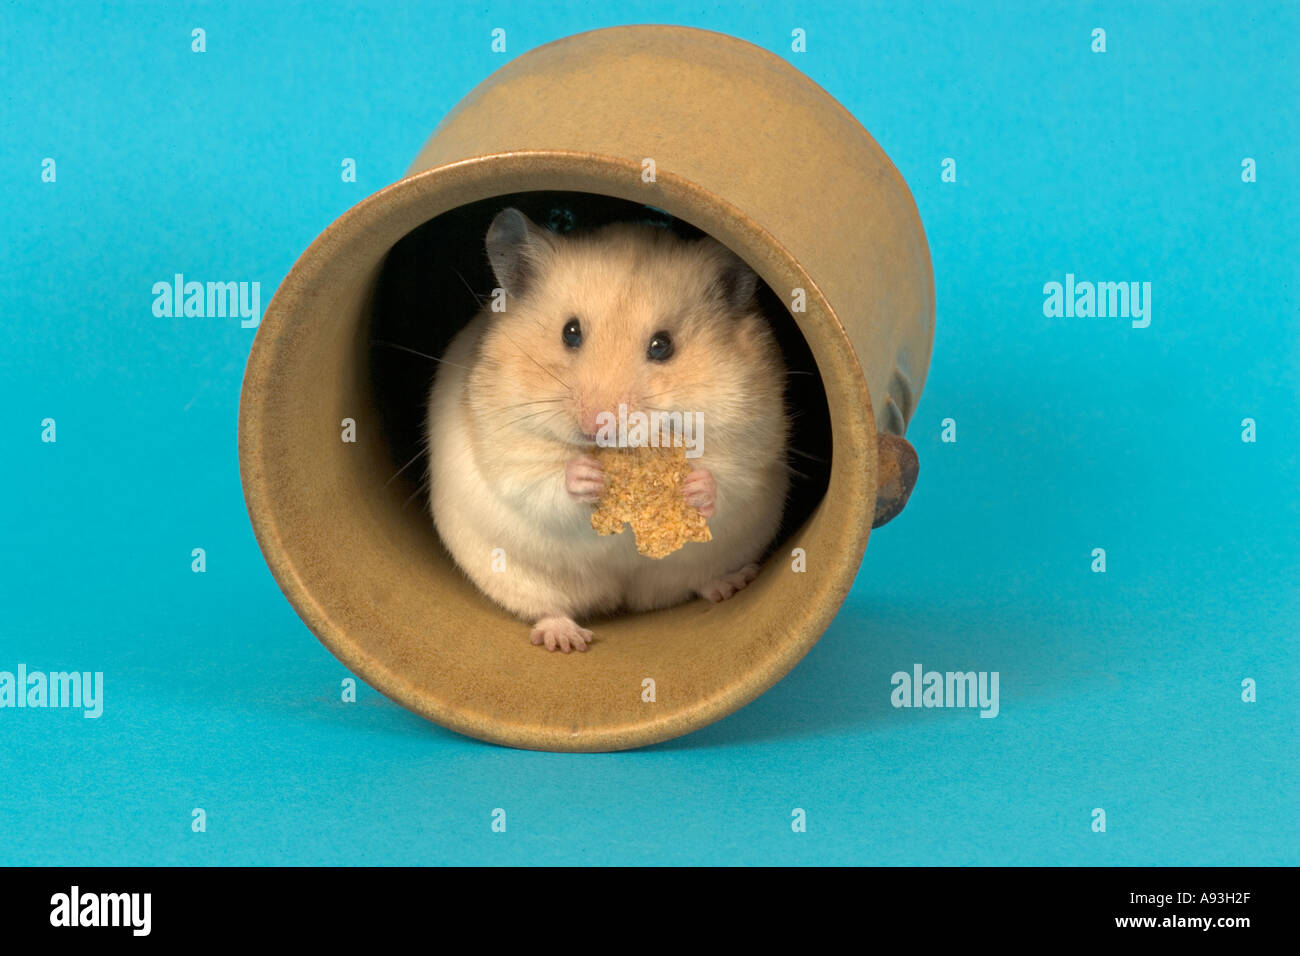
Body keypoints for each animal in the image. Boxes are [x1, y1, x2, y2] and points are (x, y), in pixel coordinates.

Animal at [425, 207, 790, 652]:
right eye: (570, 332)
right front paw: (587, 476)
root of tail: (622, 598)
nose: (596, 428)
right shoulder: (507, 442)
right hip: (511, 575)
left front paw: (694, 487)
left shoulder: (755, 432)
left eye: (663, 345)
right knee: (546, 608)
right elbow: (540, 483)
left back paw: (732, 583)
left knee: (700, 581)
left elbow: (729, 476)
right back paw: (566, 640)